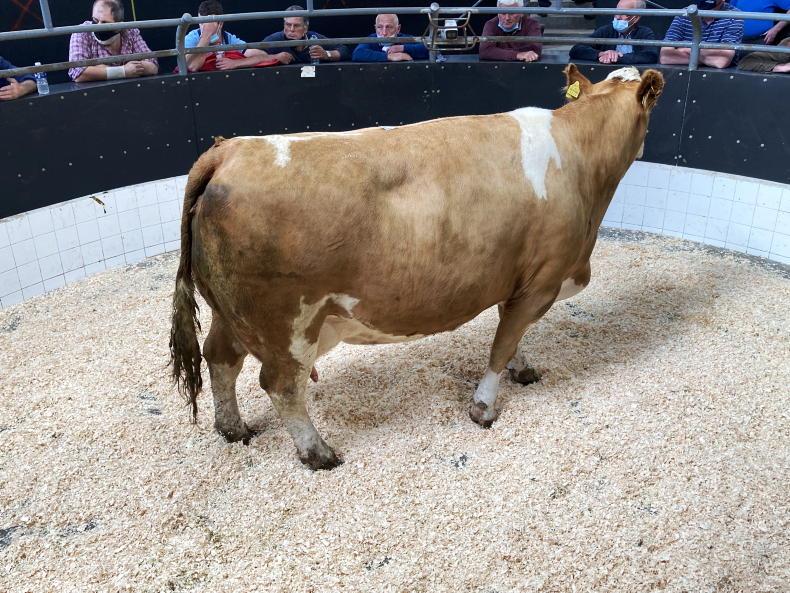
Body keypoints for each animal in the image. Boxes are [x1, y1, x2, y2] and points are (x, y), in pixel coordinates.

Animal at [170, 64, 664, 470]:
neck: (577, 155)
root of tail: (228, 151)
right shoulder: (541, 280)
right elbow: (501, 344)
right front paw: (483, 408)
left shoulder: (518, 280)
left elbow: (515, 338)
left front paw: (522, 370)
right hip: (286, 323)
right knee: (279, 384)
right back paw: (318, 453)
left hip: (230, 310)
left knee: (220, 358)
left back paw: (233, 428)